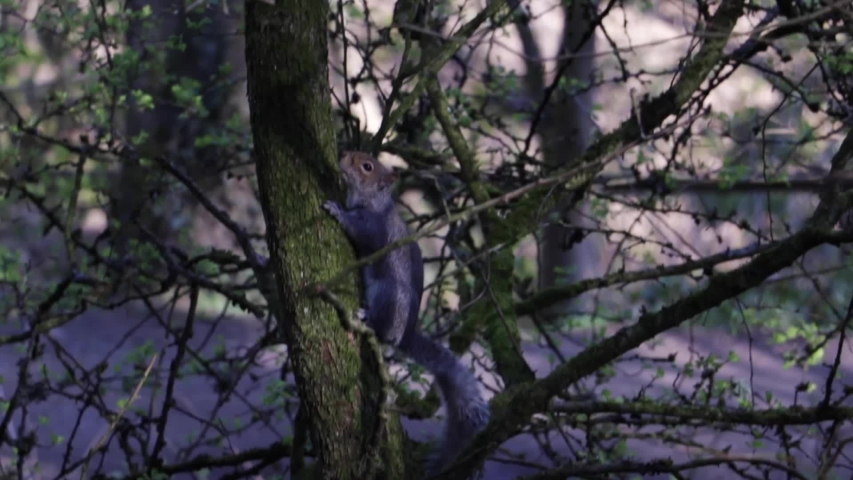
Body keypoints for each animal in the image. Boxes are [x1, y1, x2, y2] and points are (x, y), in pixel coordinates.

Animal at [323, 151, 490, 477]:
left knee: (383, 333)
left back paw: (368, 319)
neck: (374, 202)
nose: (344, 155)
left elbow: (357, 230)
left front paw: (335, 209)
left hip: (389, 297)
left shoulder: (374, 230)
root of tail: (406, 335)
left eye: (368, 167)